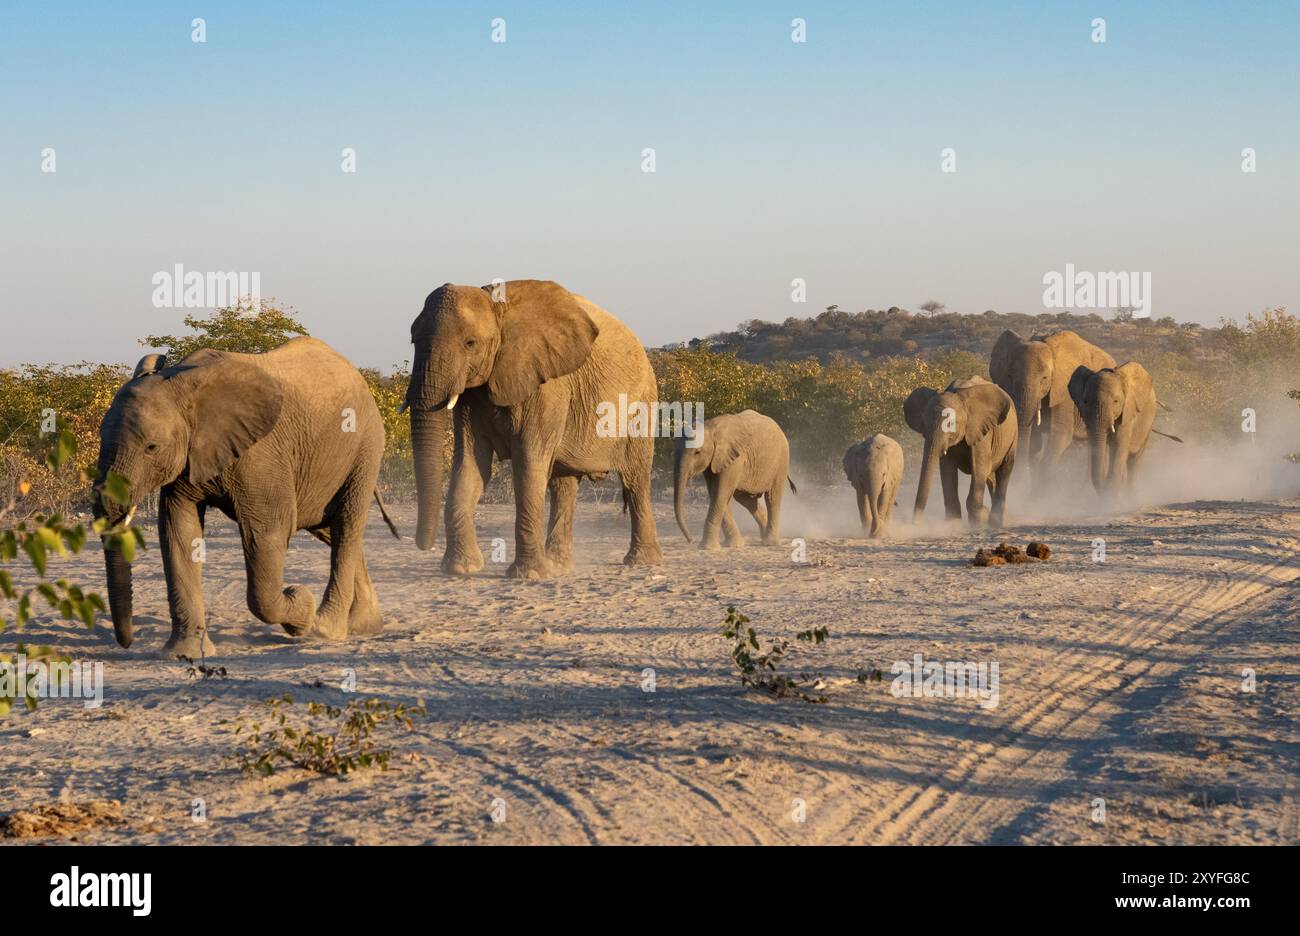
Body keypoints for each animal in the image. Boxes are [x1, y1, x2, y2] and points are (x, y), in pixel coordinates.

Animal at [94, 337, 395, 656]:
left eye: (151, 447)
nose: (127, 642)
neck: (183, 384)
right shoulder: (189, 457)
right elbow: (179, 532)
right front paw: (184, 654)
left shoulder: (262, 454)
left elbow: (267, 534)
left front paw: (301, 602)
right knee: (330, 528)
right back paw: (364, 625)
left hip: (365, 447)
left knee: (346, 527)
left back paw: (325, 628)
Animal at [402, 280, 661, 580]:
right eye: (413, 341)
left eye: (470, 344)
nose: (423, 545)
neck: (499, 307)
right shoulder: (472, 394)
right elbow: (470, 464)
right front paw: (461, 569)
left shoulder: (547, 385)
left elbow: (528, 463)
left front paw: (529, 575)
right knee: (564, 485)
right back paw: (559, 566)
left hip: (642, 404)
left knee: (635, 479)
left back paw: (640, 562)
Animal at [673, 410, 796, 548]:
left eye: (697, 452)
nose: (691, 540)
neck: (709, 428)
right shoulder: (713, 462)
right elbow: (716, 493)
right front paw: (735, 545)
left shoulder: (734, 459)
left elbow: (720, 493)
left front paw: (707, 548)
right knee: (745, 499)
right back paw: (764, 537)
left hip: (781, 460)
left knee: (772, 498)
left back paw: (770, 543)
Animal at [904, 377, 1017, 527]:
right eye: (924, 424)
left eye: (950, 424)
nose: (915, 523)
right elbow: (947, 469)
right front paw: (953, 524)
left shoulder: (981, 431)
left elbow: (979, 467)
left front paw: (978, 521)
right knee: (991, 477)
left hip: (1013, 437)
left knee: (1004, 471)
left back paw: (997, 521)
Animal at [1068, 361, 1179, 493]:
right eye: (1085, 401)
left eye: (1116, 401)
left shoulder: (1128, 414)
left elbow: (1118, 446)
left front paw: (1112, 491)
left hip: (1149, 423)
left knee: (1134, 461)